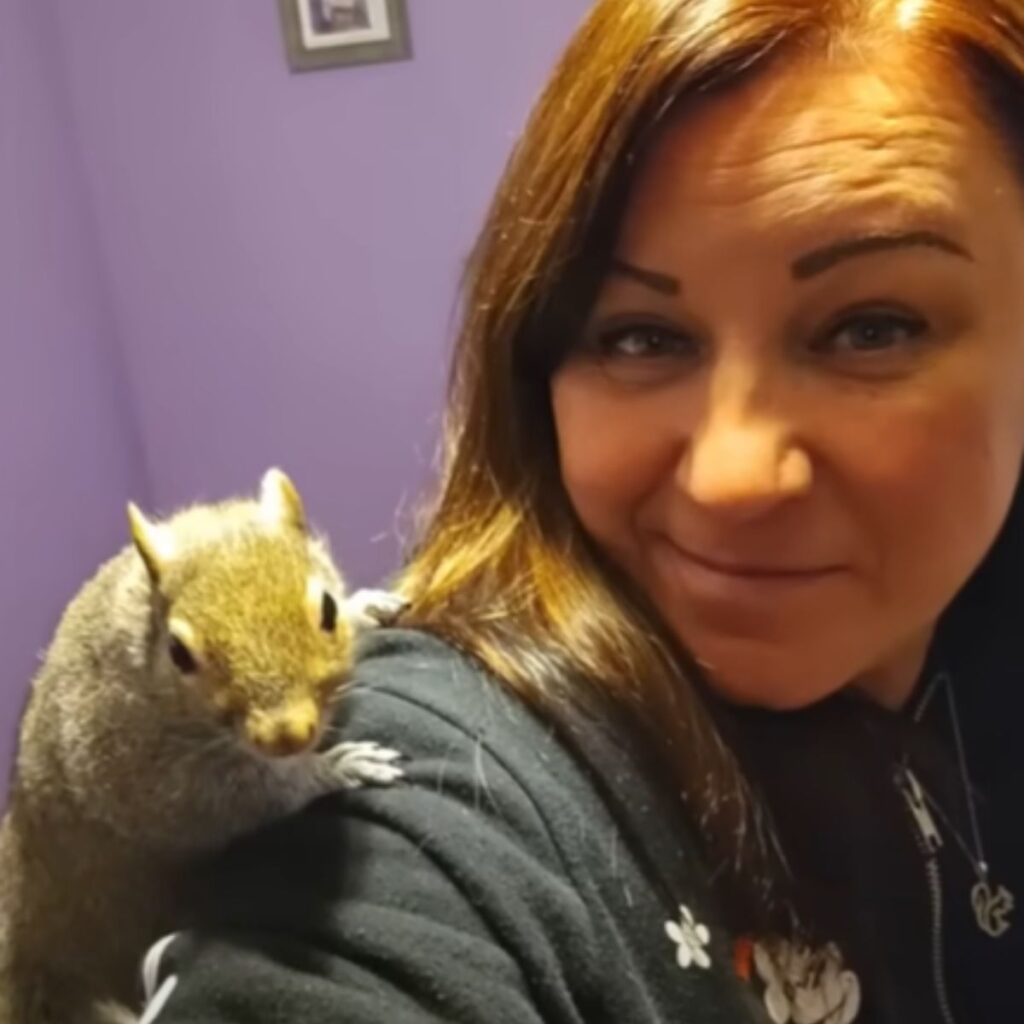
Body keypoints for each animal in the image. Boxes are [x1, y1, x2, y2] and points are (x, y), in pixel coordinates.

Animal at [0, 468, 406, 1024]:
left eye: (326, 609)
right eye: (178, 652)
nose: (287, 735)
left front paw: (366, 608)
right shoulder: (142, 777)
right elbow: (244, 797)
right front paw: (338, 767)